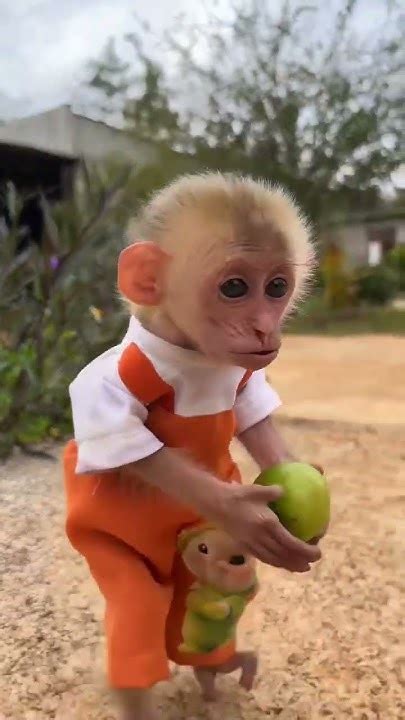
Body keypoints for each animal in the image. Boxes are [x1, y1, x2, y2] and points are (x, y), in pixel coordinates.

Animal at [63, 172, 323, 720]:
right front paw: (244, 513)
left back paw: (214, 673)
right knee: (138, 611)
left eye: (276, 287)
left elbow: (254, 418)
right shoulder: (103, 380)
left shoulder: (241, 374)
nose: (265, 325)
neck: (190, 359)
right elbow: (145, 457)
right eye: (234, 288)